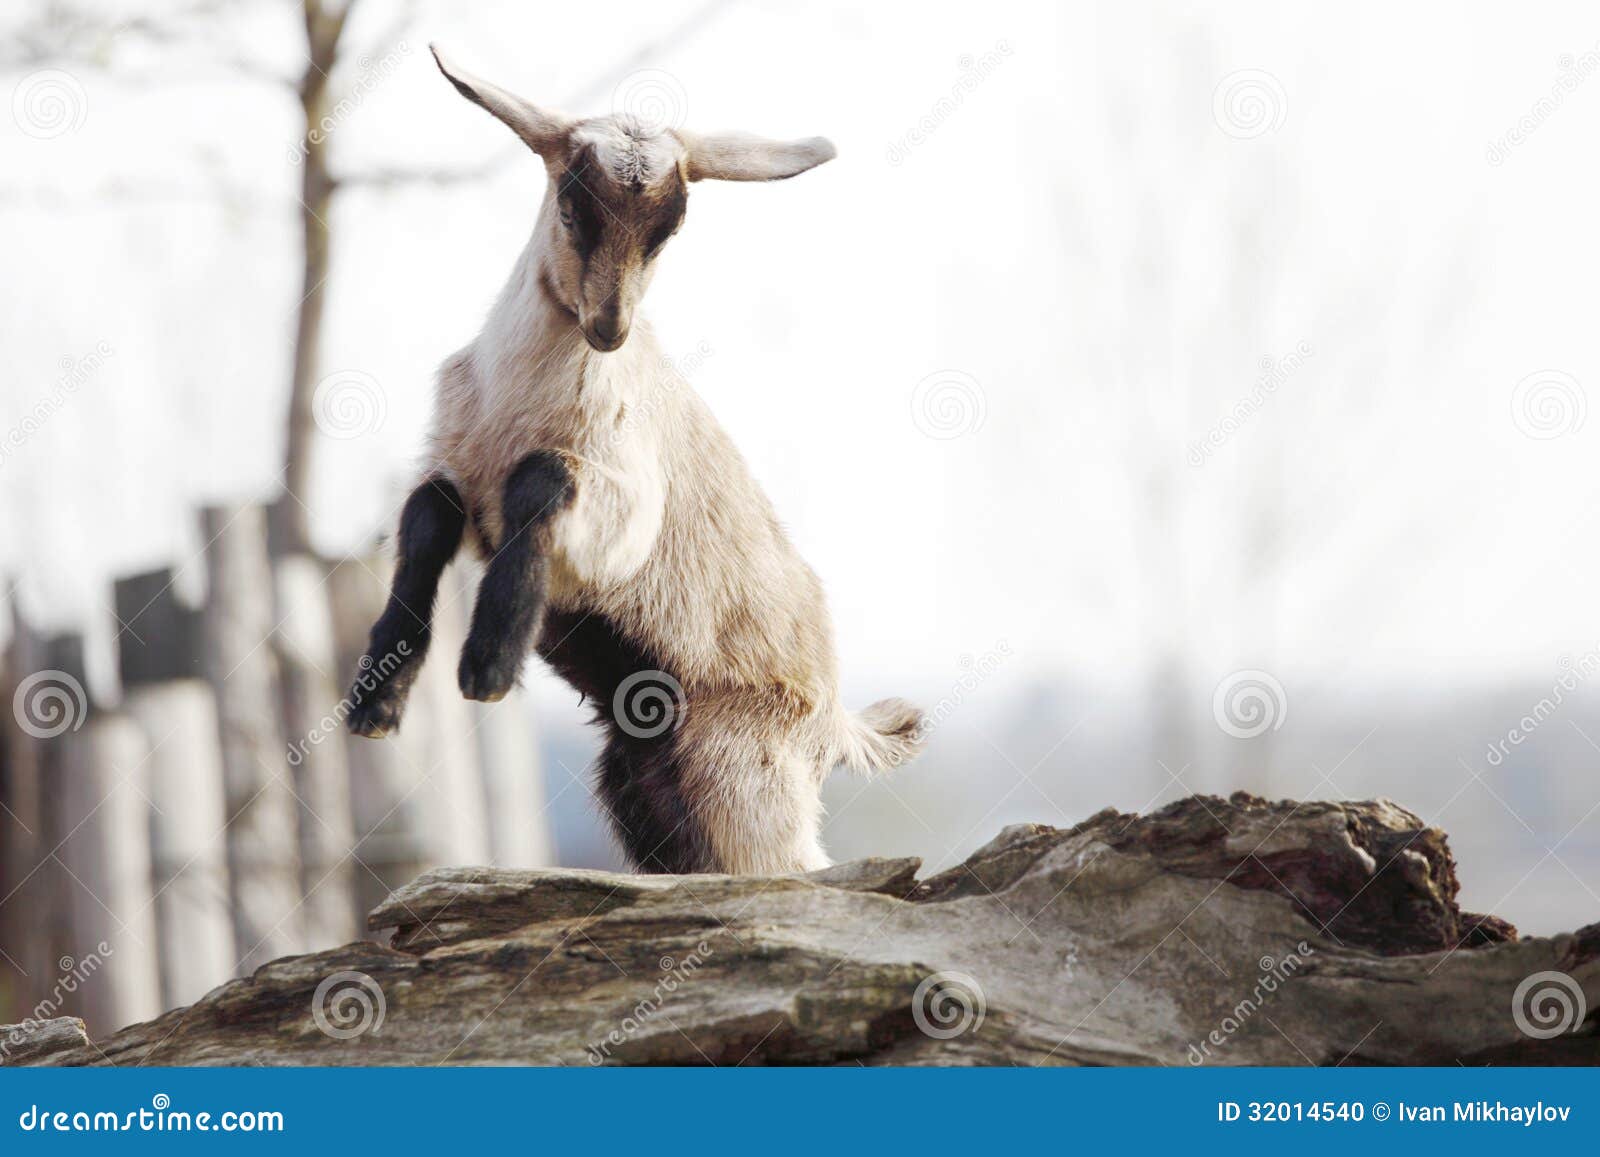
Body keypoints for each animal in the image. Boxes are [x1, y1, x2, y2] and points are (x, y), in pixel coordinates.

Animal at [345, 45, 923, 874]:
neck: (521, 396)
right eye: (570, 207)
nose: (609, 329)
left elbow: (541, 478)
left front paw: (489, 662)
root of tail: (841, 722)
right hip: (650, 777)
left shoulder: (616, 512)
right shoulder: (462, 475)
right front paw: (377, 697)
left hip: (742, 769)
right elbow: (425, 513)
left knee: (796, 868)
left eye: (667, 231)